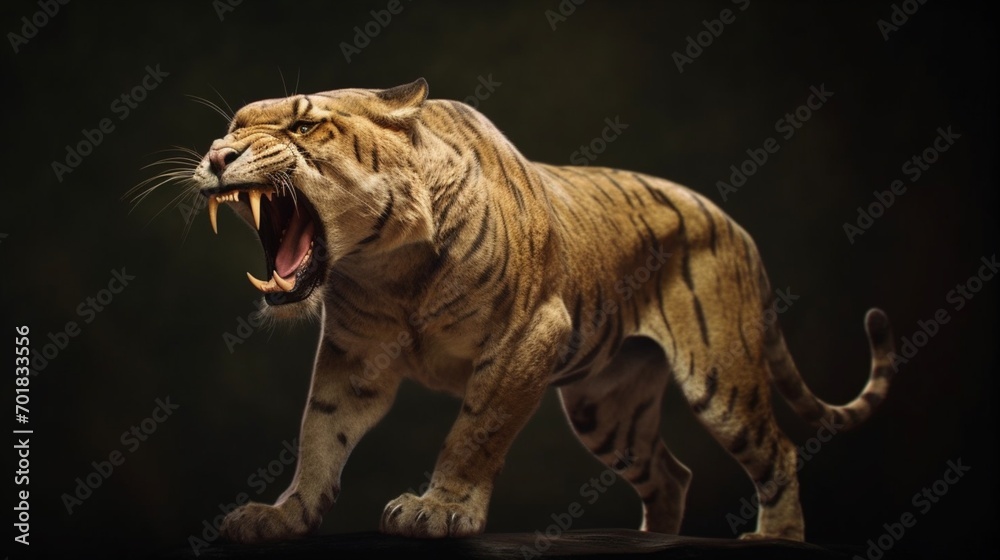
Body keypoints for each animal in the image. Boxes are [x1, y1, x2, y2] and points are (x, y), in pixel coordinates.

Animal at [188, 78, 896, 543]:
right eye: (232, 127)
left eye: (303, 126)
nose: (219, 155)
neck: (389, 267)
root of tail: (735, 226)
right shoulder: (351, 357)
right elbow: (319, 436)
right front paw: (283, 516)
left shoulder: (527, 335)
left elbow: (475, 432)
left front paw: (439, 510)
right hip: (607, 411)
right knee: (672, 474)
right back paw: (653, 538)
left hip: (721, 377)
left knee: (779, 452)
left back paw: (775, 538)